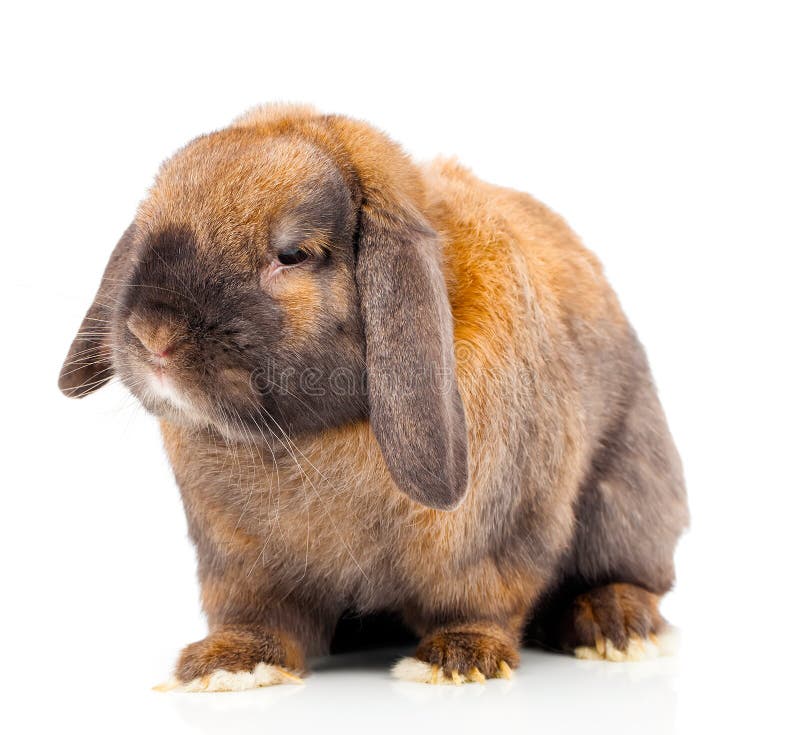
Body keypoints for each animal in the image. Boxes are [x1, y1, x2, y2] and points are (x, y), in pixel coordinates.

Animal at [59, 104, 688, 689]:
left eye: (292, 254)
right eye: (149, 228)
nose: (151, 334)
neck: (309, 437)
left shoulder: (497, 535)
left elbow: (482, 603)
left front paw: (459, 659)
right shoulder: (239, 562)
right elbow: (257, 616)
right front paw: (226, 665)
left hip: (628, 495)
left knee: (633, 574)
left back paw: (616, 625)